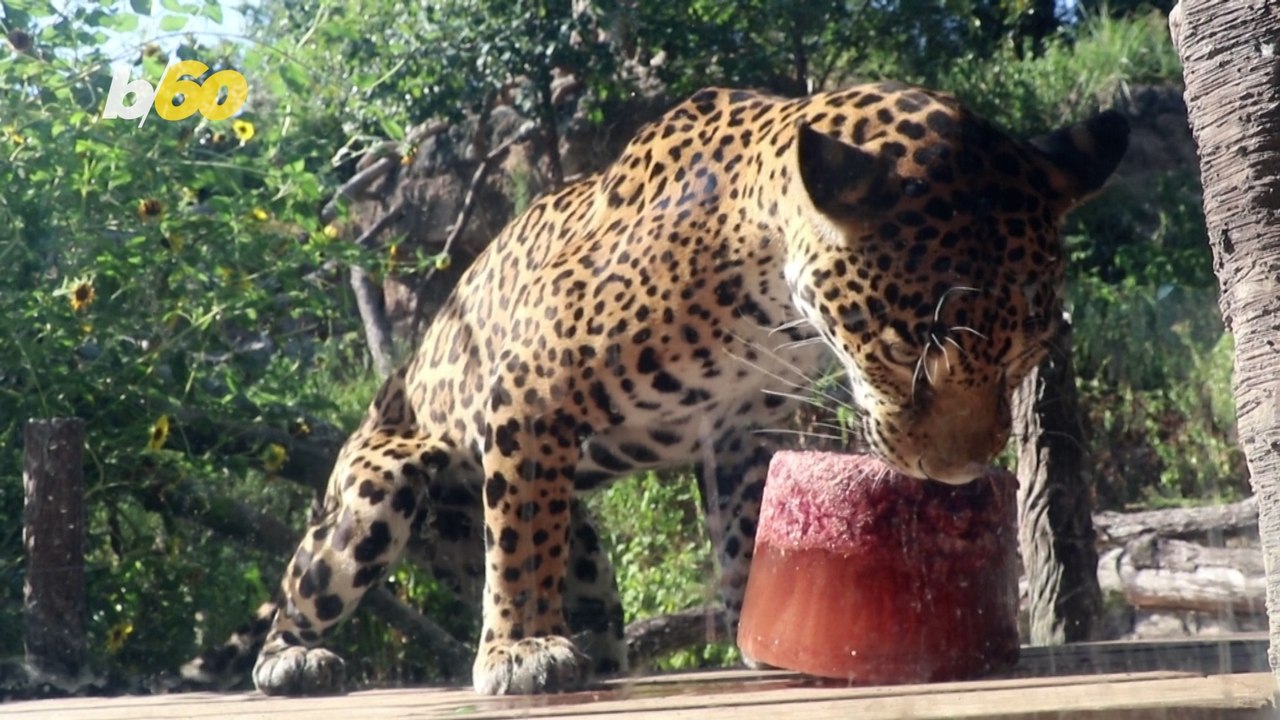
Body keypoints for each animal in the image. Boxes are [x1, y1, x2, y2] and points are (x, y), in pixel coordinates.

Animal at [183, 81, 1128, 696]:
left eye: (1027, 352)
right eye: (903, 348)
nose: (957, 475)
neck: (771, 299)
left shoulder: (744, 436)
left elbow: (746, 536)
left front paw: (756, 631)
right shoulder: (527, 394)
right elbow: (518, 550)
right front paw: (518, 652)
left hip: (583, 552)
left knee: (576, 572)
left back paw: (598, 654)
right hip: (380, 488)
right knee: (314, 584)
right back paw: (294, 660)